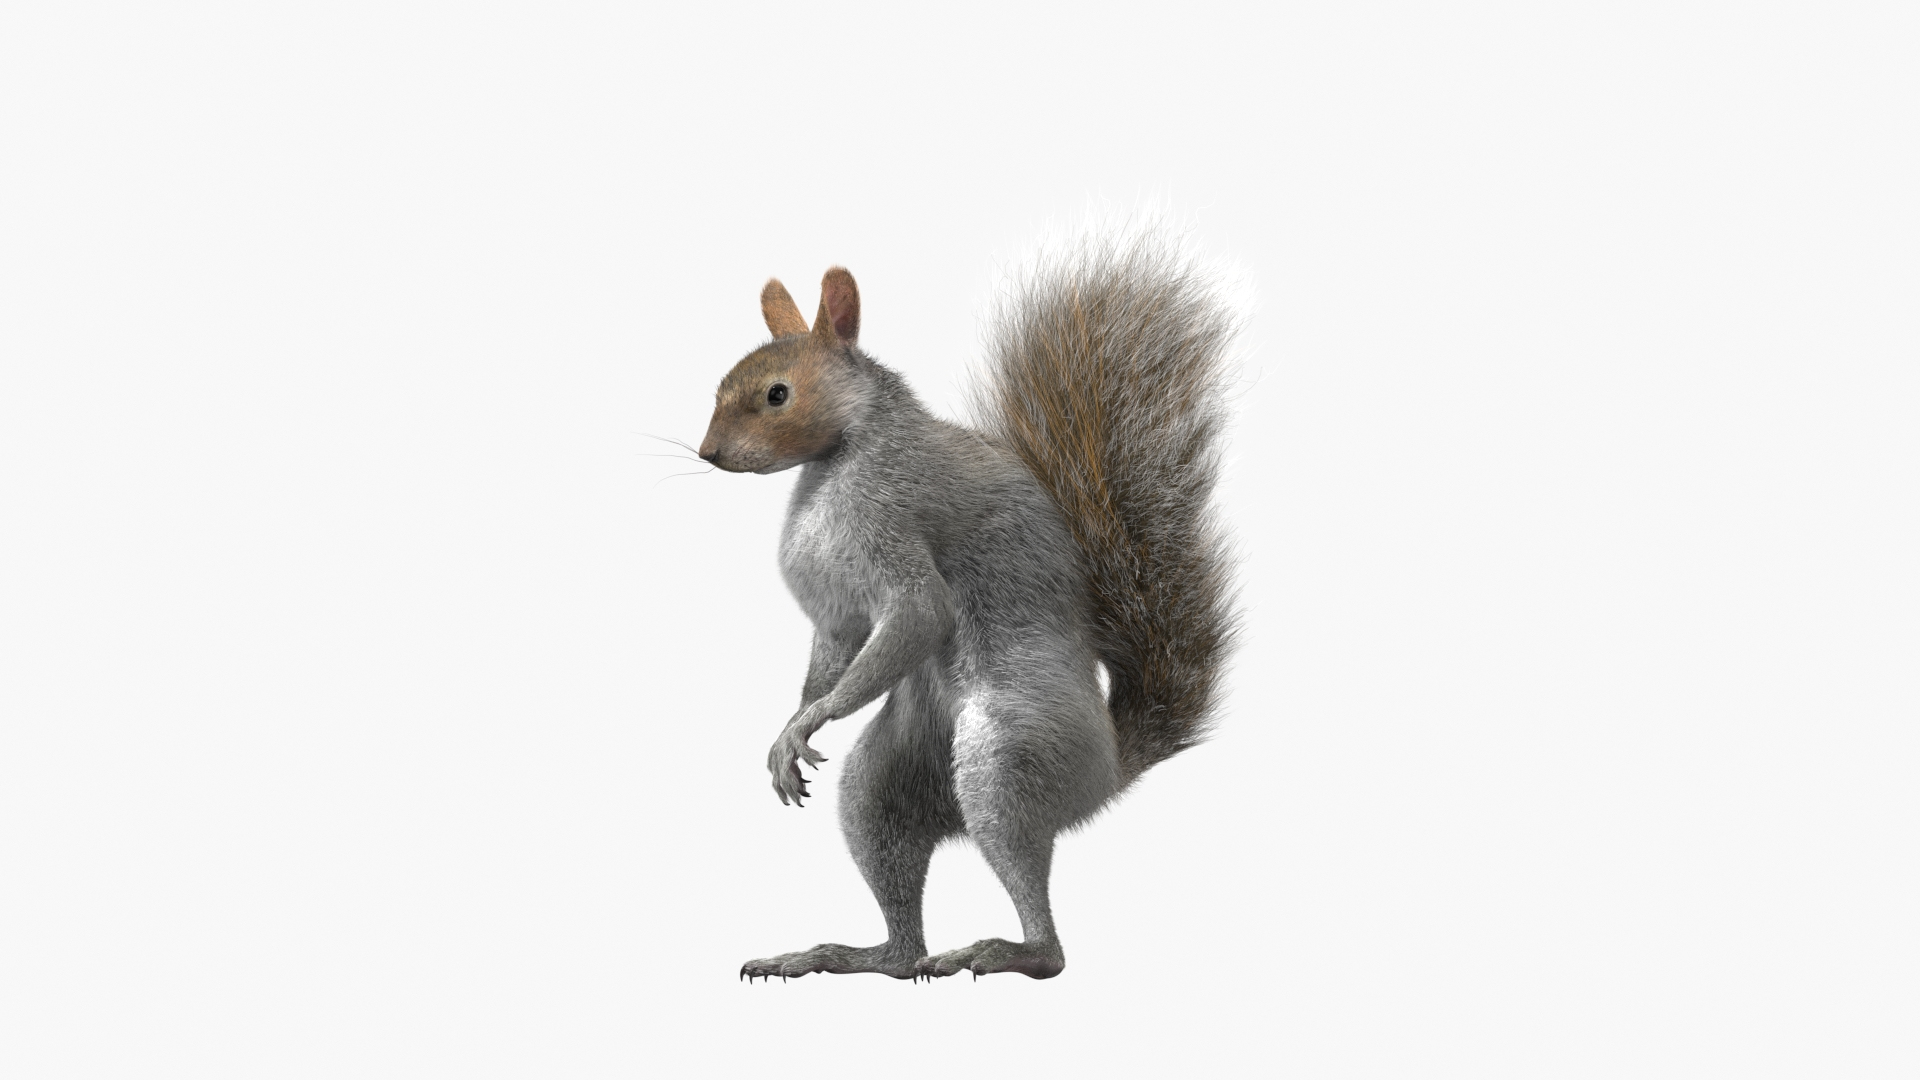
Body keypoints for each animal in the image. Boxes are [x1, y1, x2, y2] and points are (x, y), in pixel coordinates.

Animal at [698, 230, 1239, 981]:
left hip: (1006, 760)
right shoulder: (837, 614)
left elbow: (919, 618)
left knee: (1049, 948)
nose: (708, 453)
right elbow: (835, 652)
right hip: (883, 782)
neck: (840, 459)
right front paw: (791, 724)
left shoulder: (894, 527)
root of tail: (1105, 773)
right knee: (902, 939)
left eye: (778, 394)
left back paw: (1003, 950)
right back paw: (844, 956)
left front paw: (809, 719)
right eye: (721, 384)